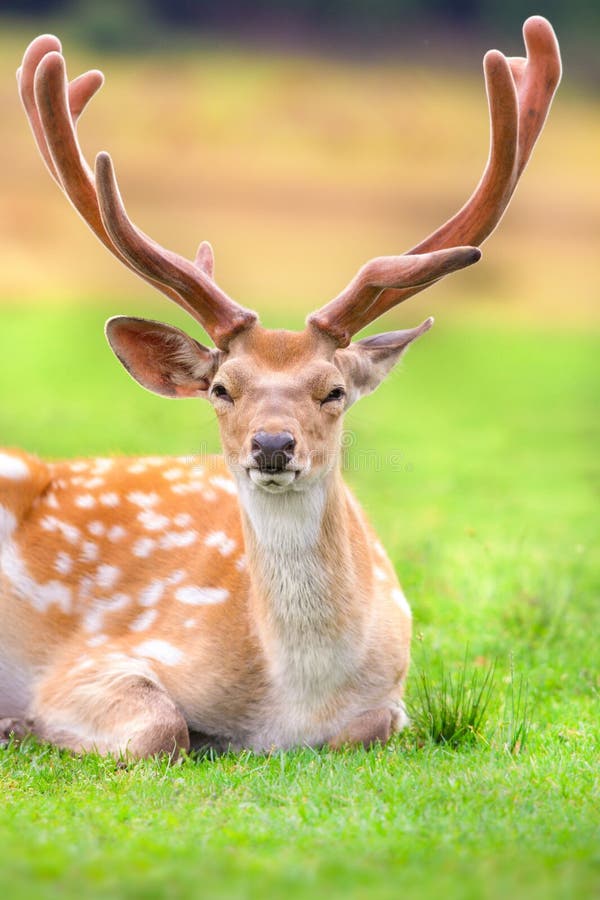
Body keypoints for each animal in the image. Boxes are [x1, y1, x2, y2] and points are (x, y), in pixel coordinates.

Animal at [0, 19, 560, 759]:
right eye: (221, 388)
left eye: (334, 390)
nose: (272, 444)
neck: (289, 704)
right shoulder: (90, 660)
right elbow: (162, 727)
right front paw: (27, 723)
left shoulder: (391, 701)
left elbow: (372, 727)